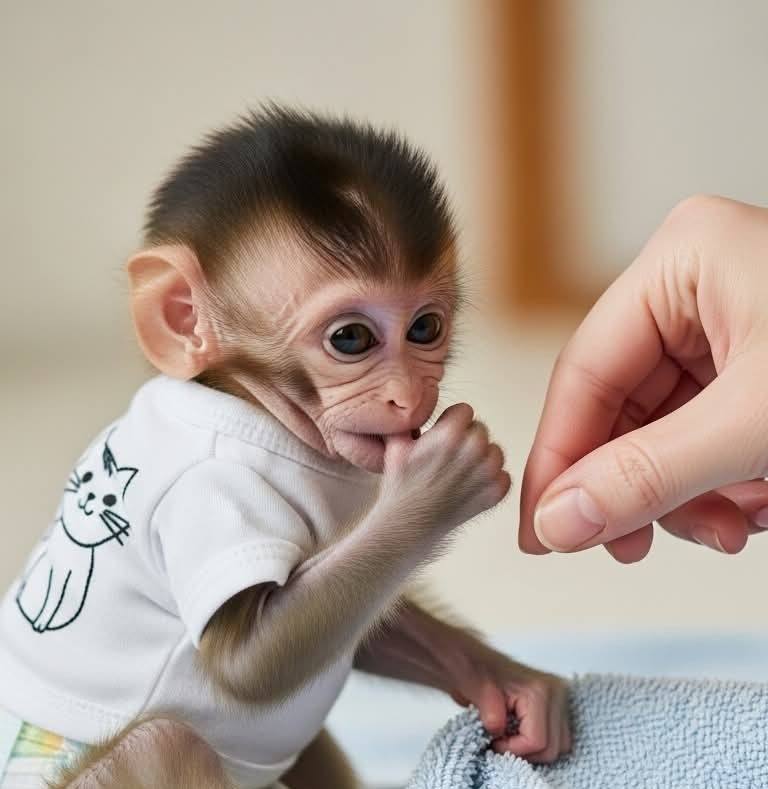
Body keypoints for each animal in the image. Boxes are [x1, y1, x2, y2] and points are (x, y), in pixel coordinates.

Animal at [0, 106, 570, 789]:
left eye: (426, 327)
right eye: (351, 339)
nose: (410, 395)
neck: (251, 409)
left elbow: (361, 622)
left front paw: (499, 678)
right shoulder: (209, 499)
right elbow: (251, 668)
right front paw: (436, 487)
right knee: (161, 742)